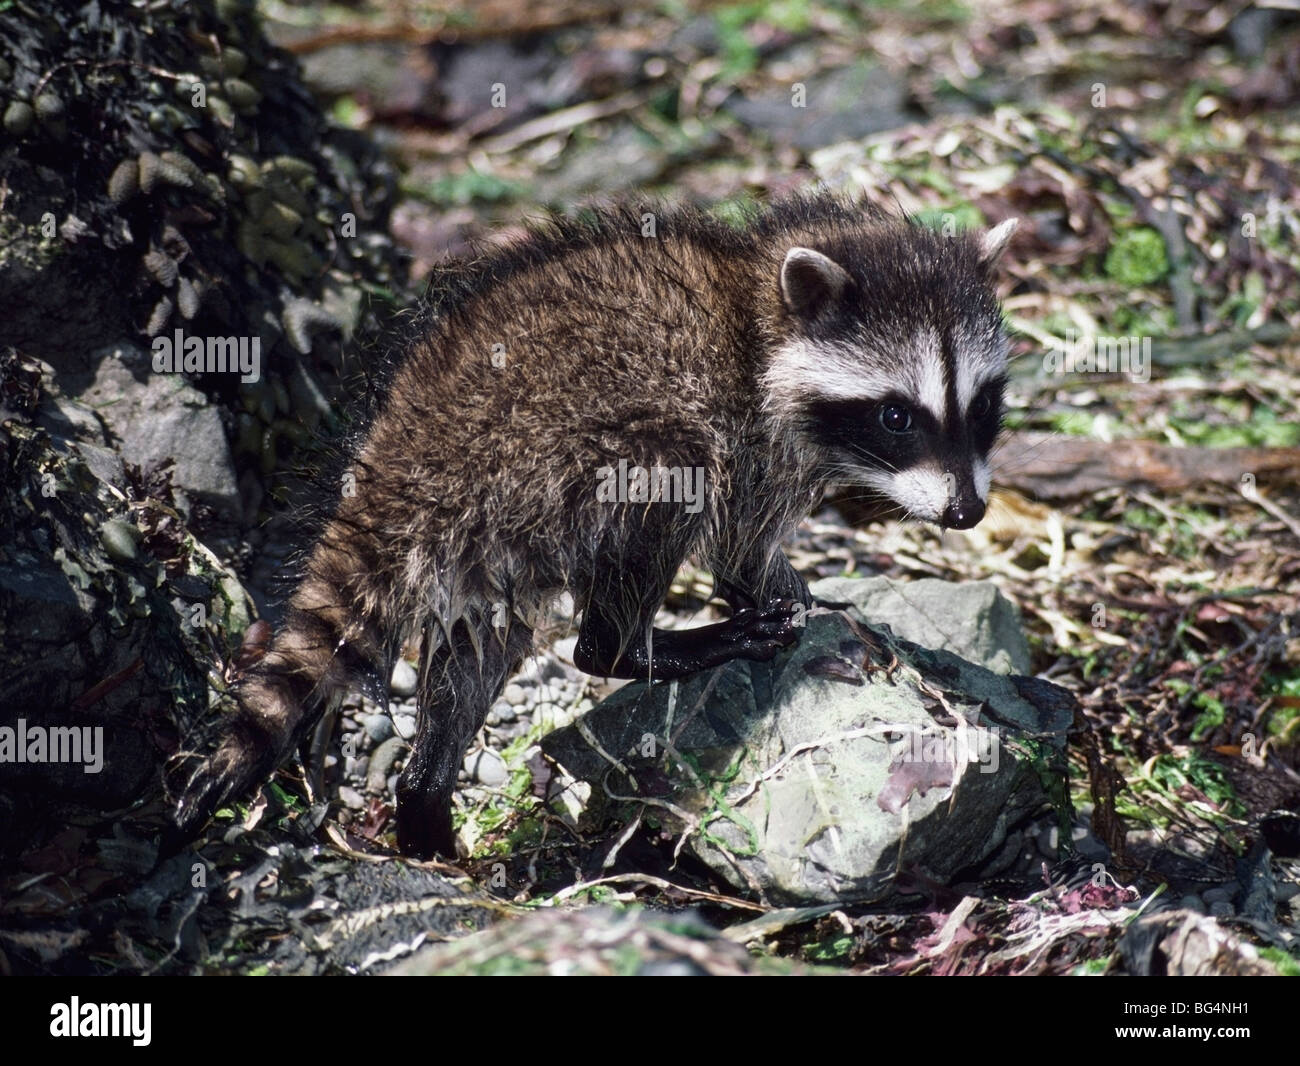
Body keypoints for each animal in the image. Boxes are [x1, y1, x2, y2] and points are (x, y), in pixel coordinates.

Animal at [171, 194, 1018, 859]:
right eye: (897, 415)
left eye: (983, 406)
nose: (967, 513)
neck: (759, 309)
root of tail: (409, 445)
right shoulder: (752, 437)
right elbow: (742, 547)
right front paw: (790, 599)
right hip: (566, 459)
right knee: (662, 487)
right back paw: (637, 646)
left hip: (478, 541)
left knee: (475, 652)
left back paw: (424, 795)